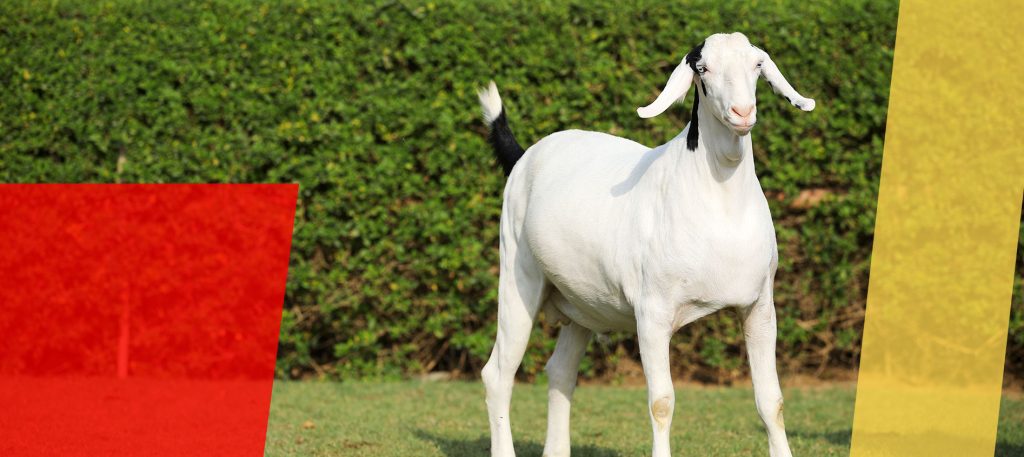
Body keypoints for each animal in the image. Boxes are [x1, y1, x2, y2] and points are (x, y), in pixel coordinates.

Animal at [476, 32, 815, 457]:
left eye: (756, 64)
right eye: (702, 68)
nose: (742, 112)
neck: (717, 194)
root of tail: (523, 159)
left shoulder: (760, 307)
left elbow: (772, 400)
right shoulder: (652, 314)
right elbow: (661, 402)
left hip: (582, 301)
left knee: (561, 371)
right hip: (518, 276)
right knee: (498, 374)